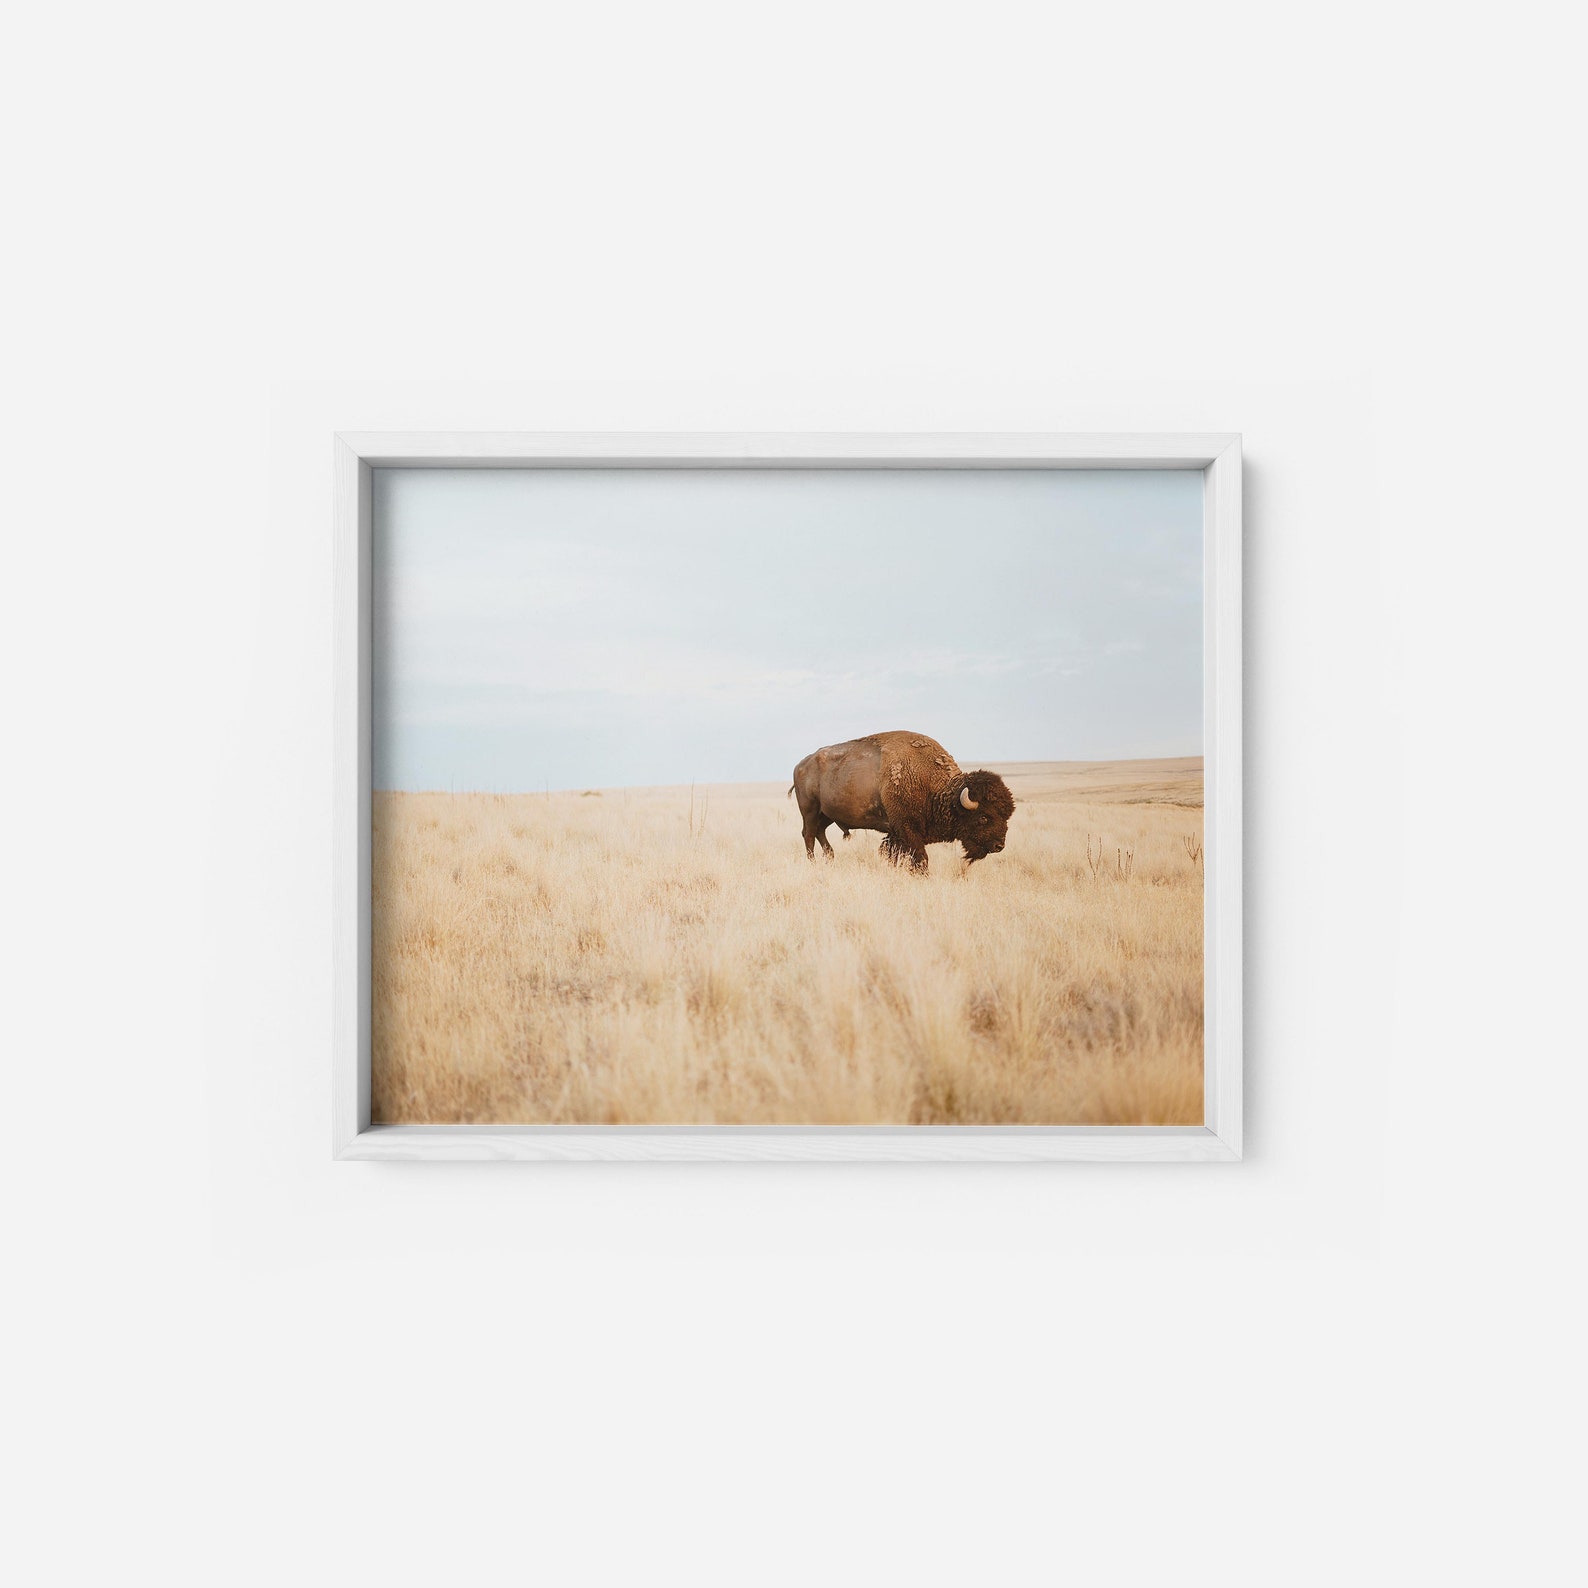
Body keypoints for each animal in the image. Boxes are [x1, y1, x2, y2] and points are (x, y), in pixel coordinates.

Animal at [789, 731, 1015, 873]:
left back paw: (830, 858)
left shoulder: (897, 834)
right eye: (984, 817)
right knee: (809, 835)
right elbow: (920, 858)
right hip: (810, 810)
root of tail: (800, 765)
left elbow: (892, 854)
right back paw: (813, 863)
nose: (999, 845)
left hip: (826, 814)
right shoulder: (907, 829)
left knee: (819, 833)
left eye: (1007, 816)